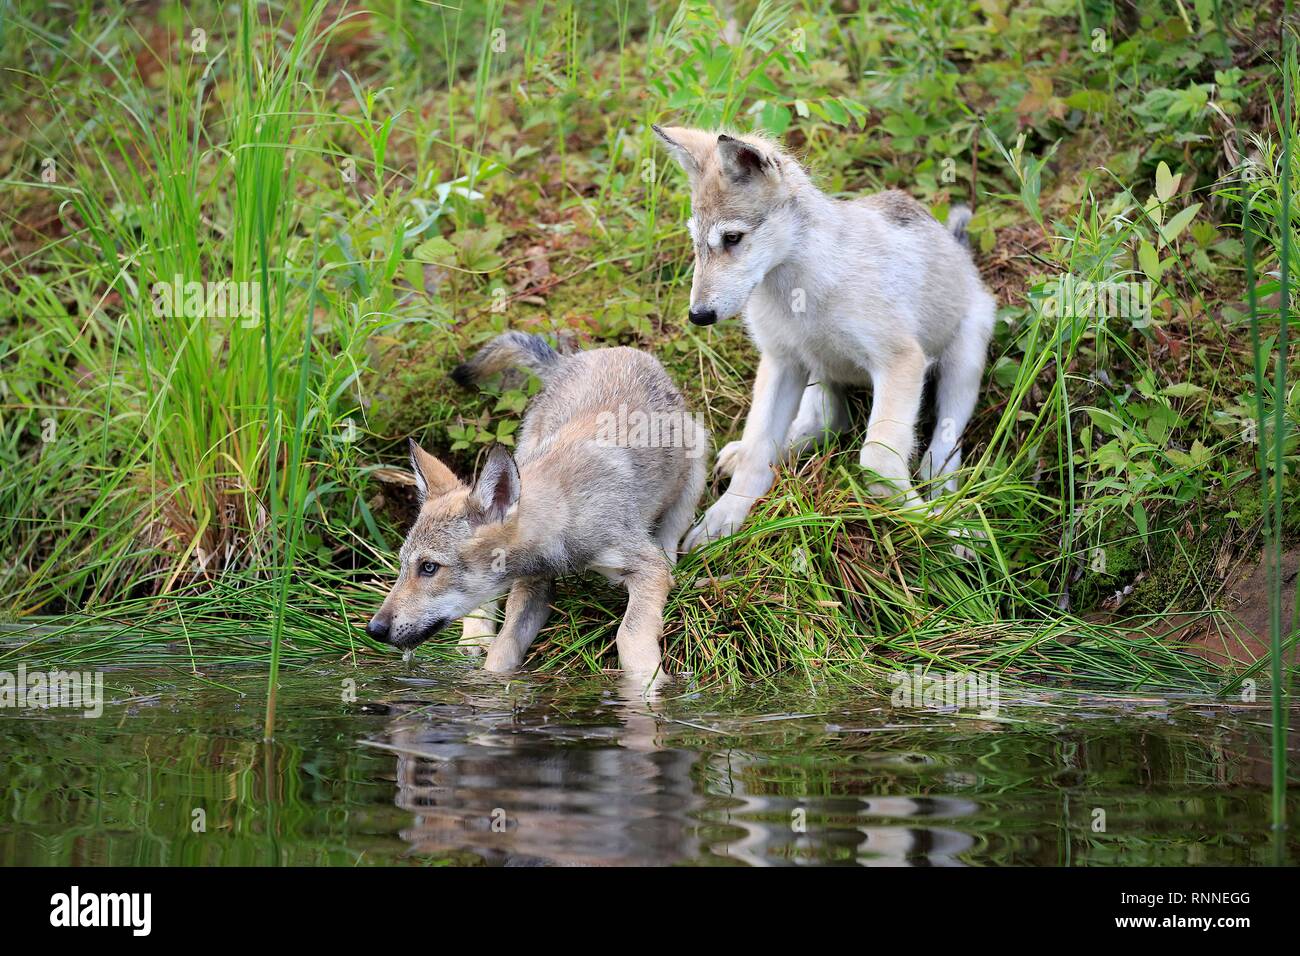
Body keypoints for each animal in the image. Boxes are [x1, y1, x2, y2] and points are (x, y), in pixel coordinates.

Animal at [364, 331, 707, 677]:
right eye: (403, 565)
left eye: (429, 567)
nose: (374, 629)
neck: (564, 516)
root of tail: (581, 356)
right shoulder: (531, 588)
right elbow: (501, 651)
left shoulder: (648, 570)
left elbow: (629, 635)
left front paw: (648, 684)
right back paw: (473, 639)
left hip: (696, 465)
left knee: (671, 536)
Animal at [653, 126, 996, 551]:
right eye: (695, 240)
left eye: (732, 238)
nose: (697, 316)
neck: (797, 289)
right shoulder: (782, 362)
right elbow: (757, 449)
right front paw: (723, 518)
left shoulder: (900, 360)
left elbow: (877, 462)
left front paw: (940, 525)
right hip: (817, 373)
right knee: (826, 422)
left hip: (963, 361)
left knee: (944, 446)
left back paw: (944, 495)